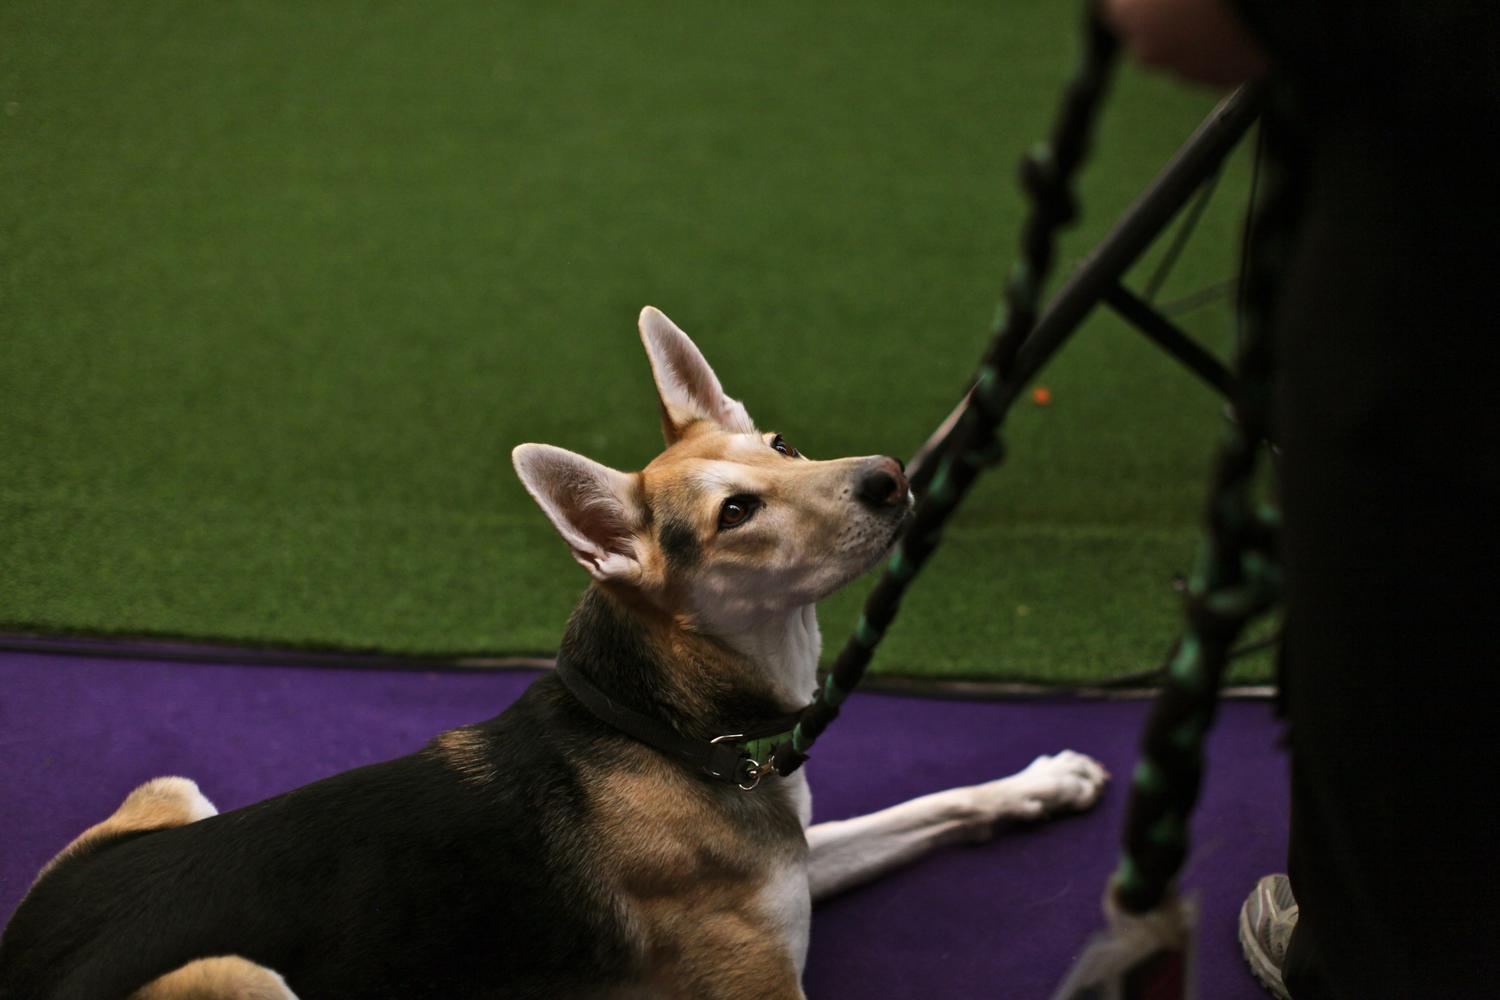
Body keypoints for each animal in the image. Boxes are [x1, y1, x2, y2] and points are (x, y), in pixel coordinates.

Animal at [0, 307, 1108, 999]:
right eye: (735, 514)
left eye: (782, 446)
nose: (889, 477)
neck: (672, 730)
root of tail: (16, 957)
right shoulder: (762, 982)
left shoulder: (793, 862)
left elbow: (925, 807)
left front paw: (1041, 781)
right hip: (244, 974)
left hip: (168, 795)